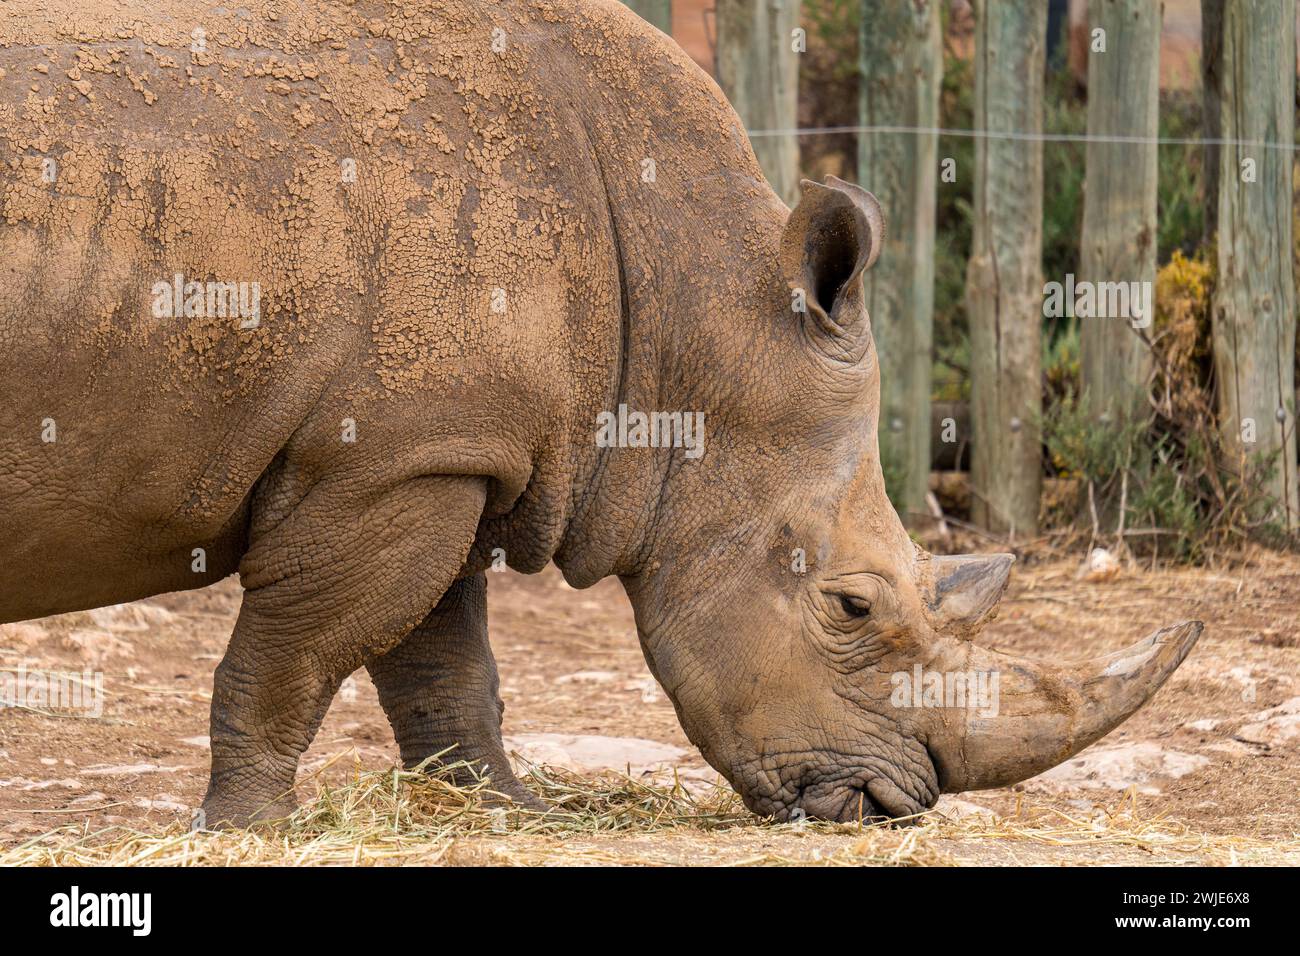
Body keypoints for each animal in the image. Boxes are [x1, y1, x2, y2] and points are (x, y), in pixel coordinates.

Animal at [0, 0, 1199, 827]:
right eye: (853, 607)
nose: (897, 804)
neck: (695, 314)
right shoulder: (390, 460)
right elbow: (294, 656)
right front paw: (242, 831)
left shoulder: (447, 450)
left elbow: (445, 663)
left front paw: (503, 814)